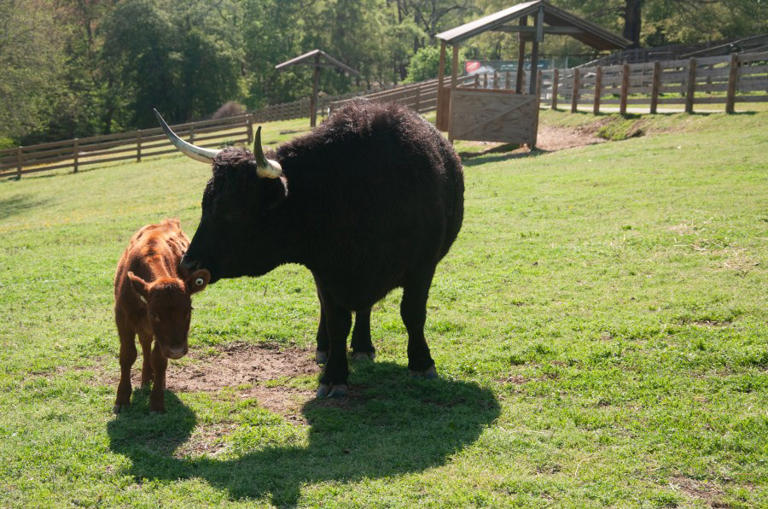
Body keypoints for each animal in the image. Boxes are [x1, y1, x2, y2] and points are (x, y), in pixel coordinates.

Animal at [113, 219, 210, 413]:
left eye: (188, 310)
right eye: (154, 314)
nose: (176, 351)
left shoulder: (163, 338)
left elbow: (159, 360)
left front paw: (157, 401)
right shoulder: (122, 319)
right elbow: (127, 355)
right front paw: (122, 398)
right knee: (144, 344)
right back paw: (145, 377)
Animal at [154, 101, 464, 398]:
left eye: (232, 211)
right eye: (205, 204)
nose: (188, 265)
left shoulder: (422, 267)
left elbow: (412, 313)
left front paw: (422, 363)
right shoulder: (325, 272)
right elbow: (336, 321)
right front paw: (334, 375)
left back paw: (363, 346)